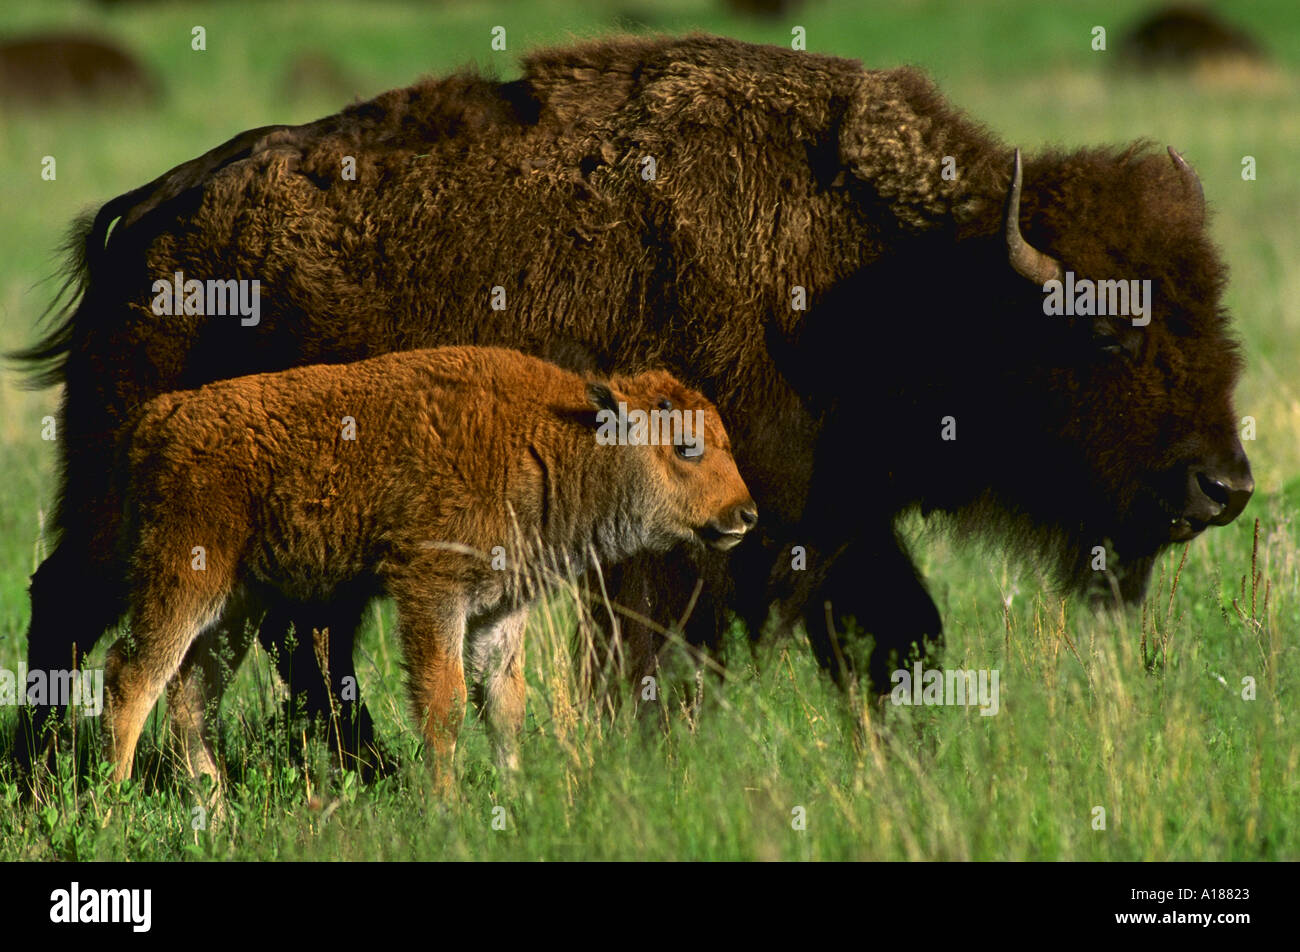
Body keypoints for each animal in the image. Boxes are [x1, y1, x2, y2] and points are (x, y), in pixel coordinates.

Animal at [102, 346, 755, 792]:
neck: (551, 437)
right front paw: (449, 807)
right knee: (130, 678)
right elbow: (445, 706)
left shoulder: (500, 609)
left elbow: (505, 705)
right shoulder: (433, 591)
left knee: (190, 696)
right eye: (686, 446)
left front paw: (515, 797)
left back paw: (212, 810)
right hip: (183, 581)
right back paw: (115, 806)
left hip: (237, 606)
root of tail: (161, 417)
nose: (744, 514)